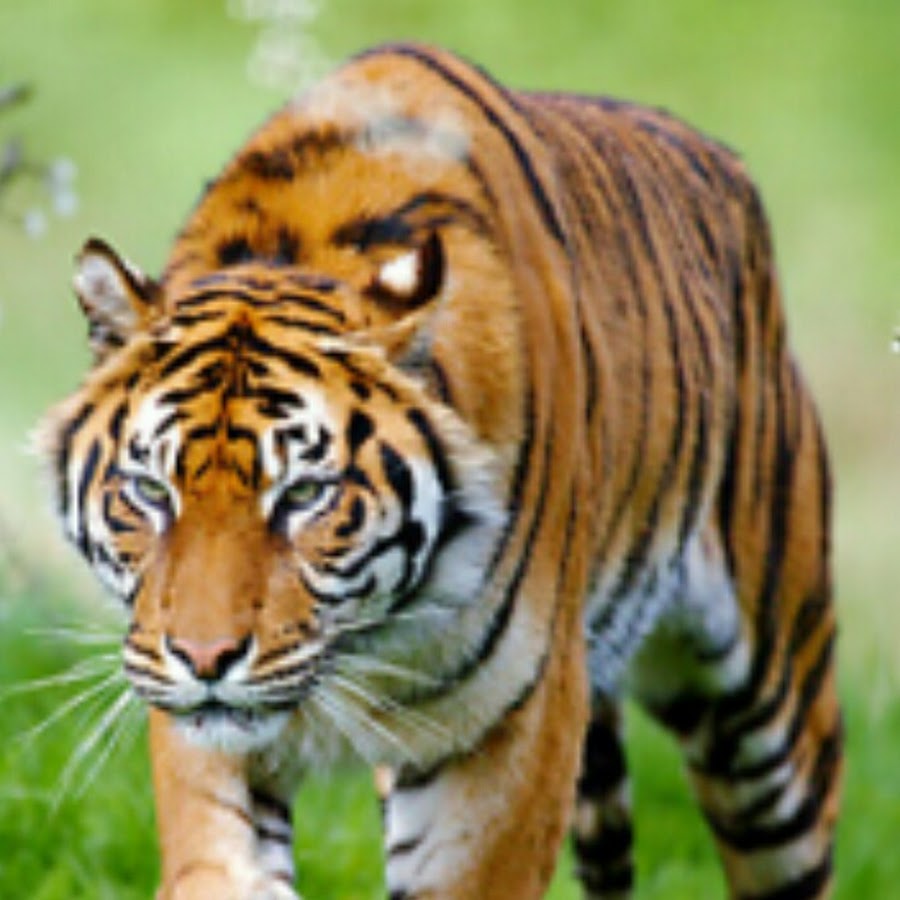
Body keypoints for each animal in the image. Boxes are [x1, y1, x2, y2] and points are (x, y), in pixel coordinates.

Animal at [41, 42, 841, 900]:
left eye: (305, 495)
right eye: (150, 492)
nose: (204, 661)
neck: (369, 637)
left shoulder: (513, 730)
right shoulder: (204, 742)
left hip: (774, 715)